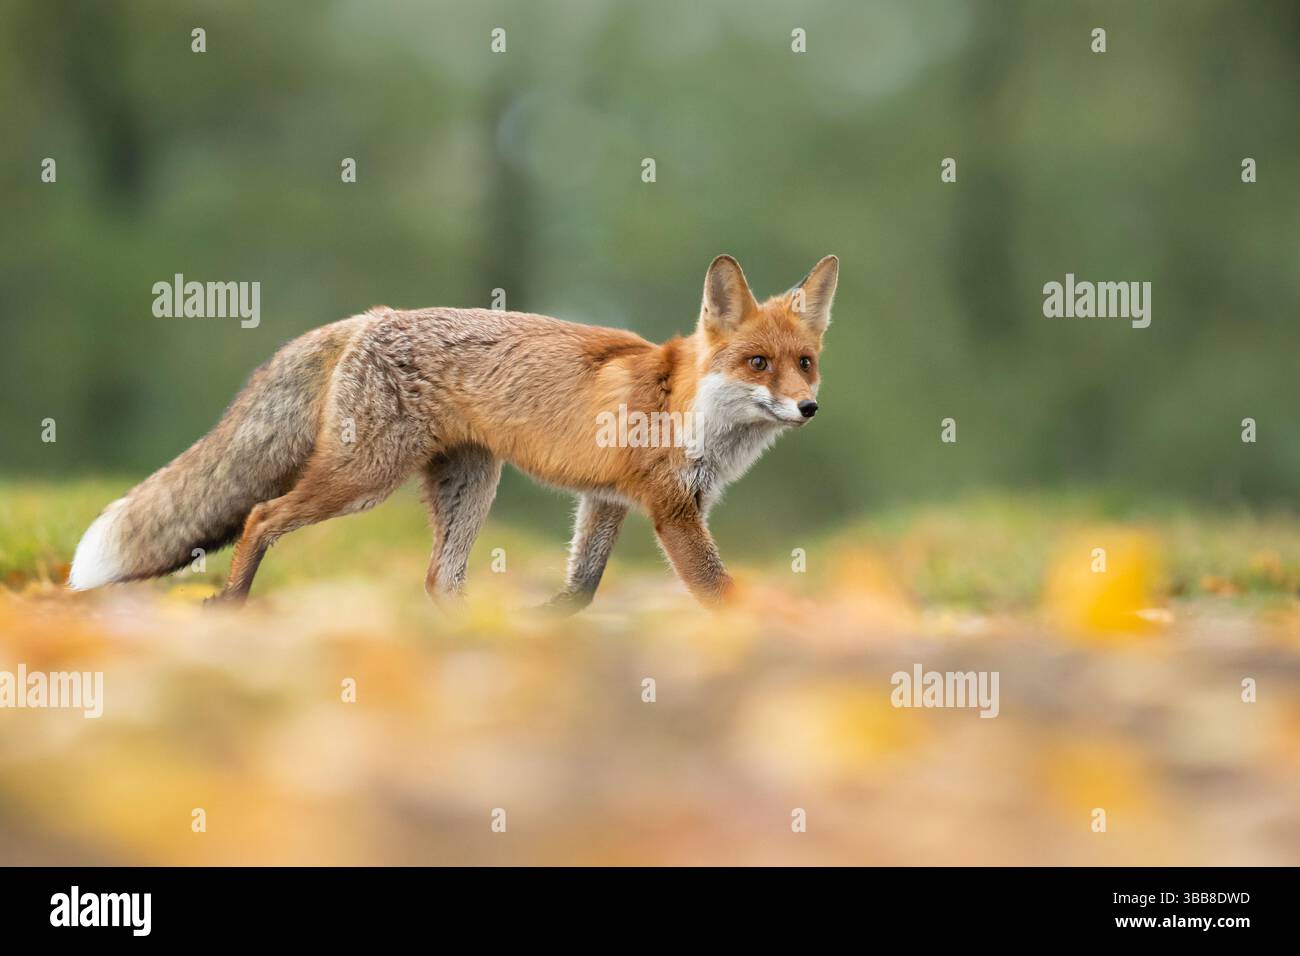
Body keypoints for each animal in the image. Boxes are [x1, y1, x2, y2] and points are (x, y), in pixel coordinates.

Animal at [68, 253, 838, 611]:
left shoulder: (608, 501)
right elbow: (718, 589)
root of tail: (372, 316)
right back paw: (231, 603)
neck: (689, 406)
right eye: (758, 363)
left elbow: (581, 589)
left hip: (470, 483)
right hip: (362, 480)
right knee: (260, 515)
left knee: (440, 579)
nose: (808, 409)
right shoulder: (671, 509)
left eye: (805, 363)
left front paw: (542, 623)